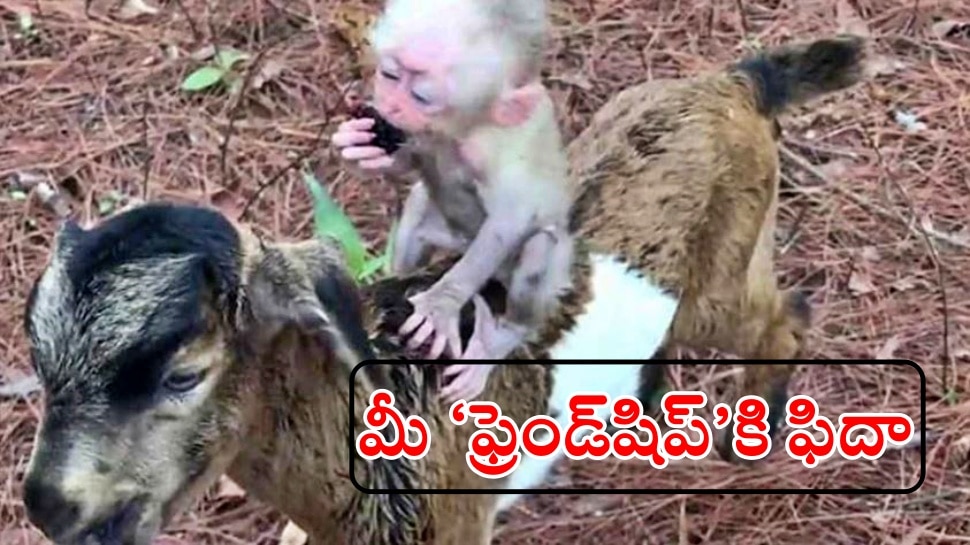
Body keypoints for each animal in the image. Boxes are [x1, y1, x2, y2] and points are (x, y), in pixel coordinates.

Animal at [331, 0, 577, 403]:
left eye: (422, 97)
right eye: (390, 75)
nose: (392, 106)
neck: (459, 131)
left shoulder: (494, 147)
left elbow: (510, 218)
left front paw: (442, 302)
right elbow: (408, 160)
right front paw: (358, 146)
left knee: (538, 248)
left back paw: (502, 338)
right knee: (418, 209)